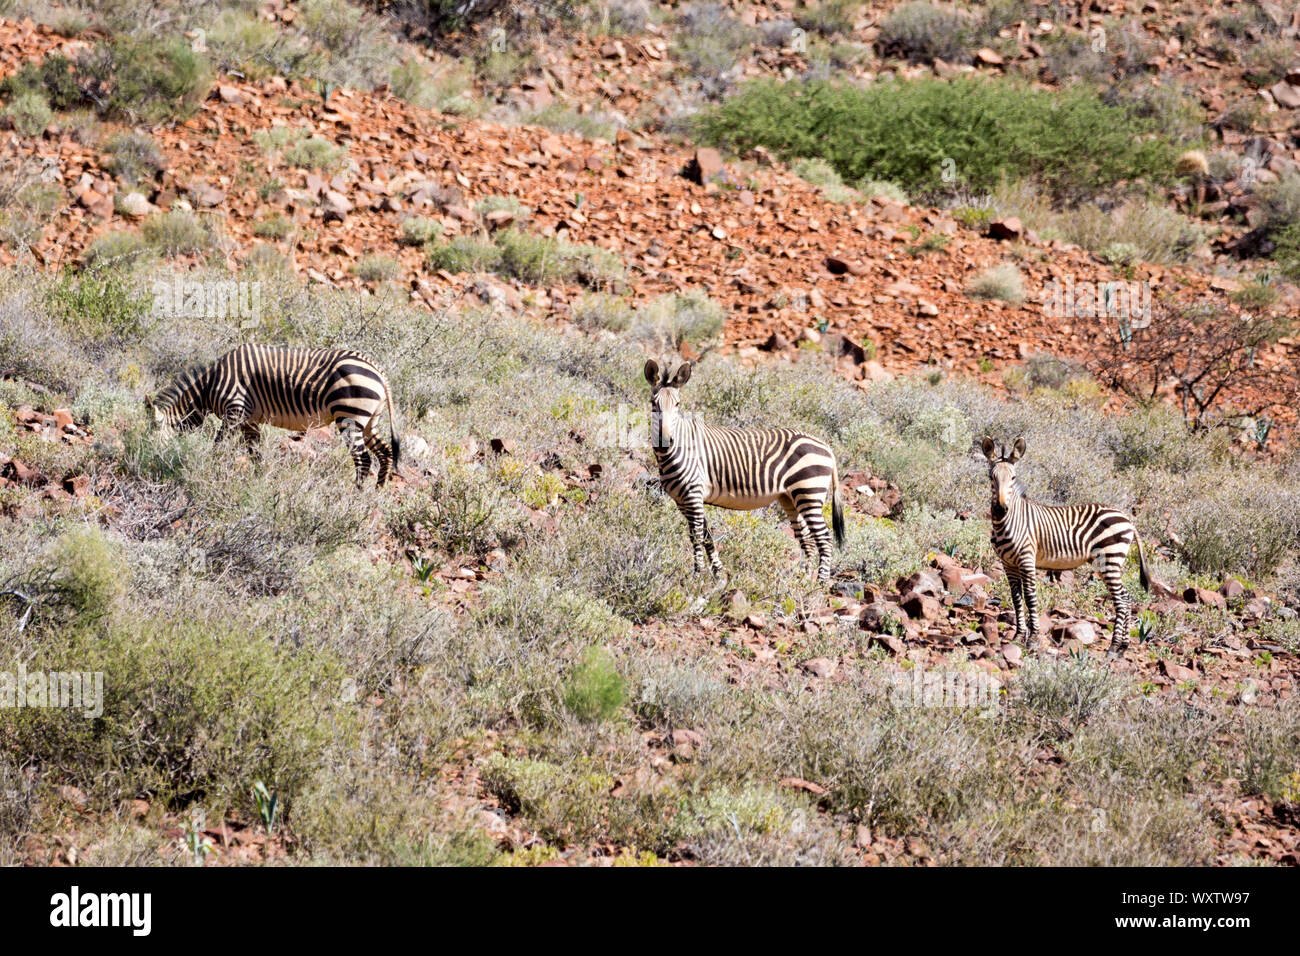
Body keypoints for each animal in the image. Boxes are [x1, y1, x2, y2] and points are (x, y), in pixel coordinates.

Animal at [146, 344, 401, 486]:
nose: (150, 463)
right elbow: (255, 454)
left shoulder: (234, 412)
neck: (210, 386)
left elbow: (218, 447)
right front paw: (259, 482)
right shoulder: (249, 421)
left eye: (153, 439)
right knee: (385, 453)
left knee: (363, 460)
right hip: (369, 421)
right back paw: (376, 495)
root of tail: (379, 370)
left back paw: (354, 497)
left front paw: (208, 472)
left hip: (350, 418)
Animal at [644, 358, 845, 582]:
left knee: (824, 537)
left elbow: (697, 536)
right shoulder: (683, 501)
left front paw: (697, 575)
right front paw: (718, 572)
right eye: (653, 404)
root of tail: (827, 447)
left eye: (678, 404)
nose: (665, 441)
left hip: (809, 493)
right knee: (807, 538)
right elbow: (705, 536)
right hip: (790, 498)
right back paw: (801, 581)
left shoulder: (693, 495)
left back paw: (820, 582)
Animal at [982, 436, 1151, 653]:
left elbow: (1030, 596)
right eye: (990, 477)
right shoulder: (1008, 564)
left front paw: (1033, 638)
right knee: (1126, 597)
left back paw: (1113, 648)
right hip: (1109, 563)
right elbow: (1016, 597)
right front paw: (1018, 636)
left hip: (1110, 560)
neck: (1007, 522)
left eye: (1013, 478)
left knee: (1121, 601)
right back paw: (1123, 646)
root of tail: (1127, 518)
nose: (1000, 509)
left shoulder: (1026, 559)